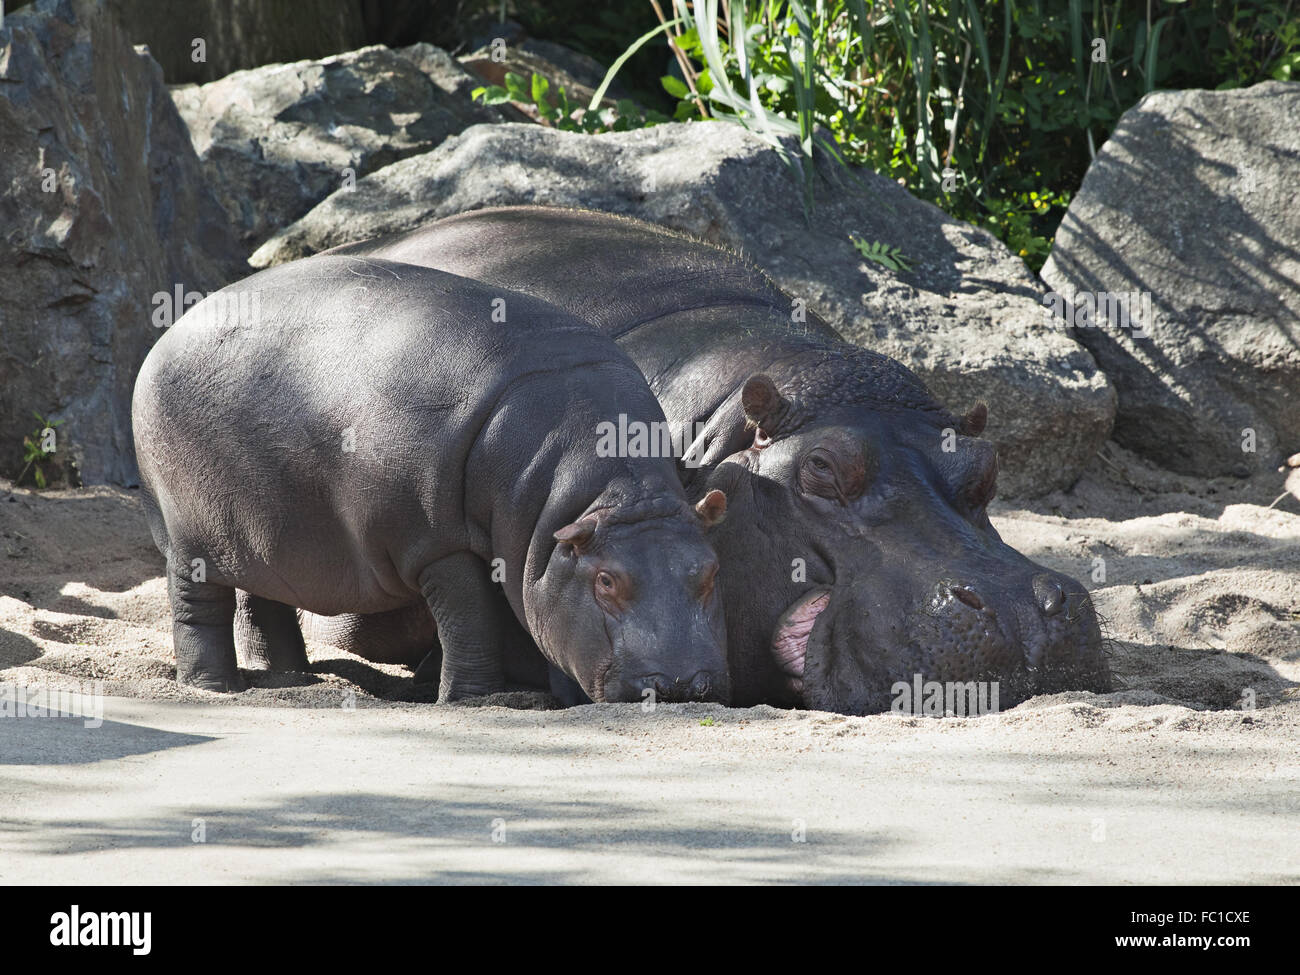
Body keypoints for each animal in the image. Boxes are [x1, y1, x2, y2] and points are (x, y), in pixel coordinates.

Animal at [131, 254, 730, 703]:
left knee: (265, 599)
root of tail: (172, 330)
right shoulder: (436, 542)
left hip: (263, 529)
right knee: (197, 604)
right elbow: (469, 620)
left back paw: (290, 680)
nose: (678, 685)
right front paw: (475, 698)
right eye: (606, 580)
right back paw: (214, 687)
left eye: (710, 570)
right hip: (187, 535)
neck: (599, 495)